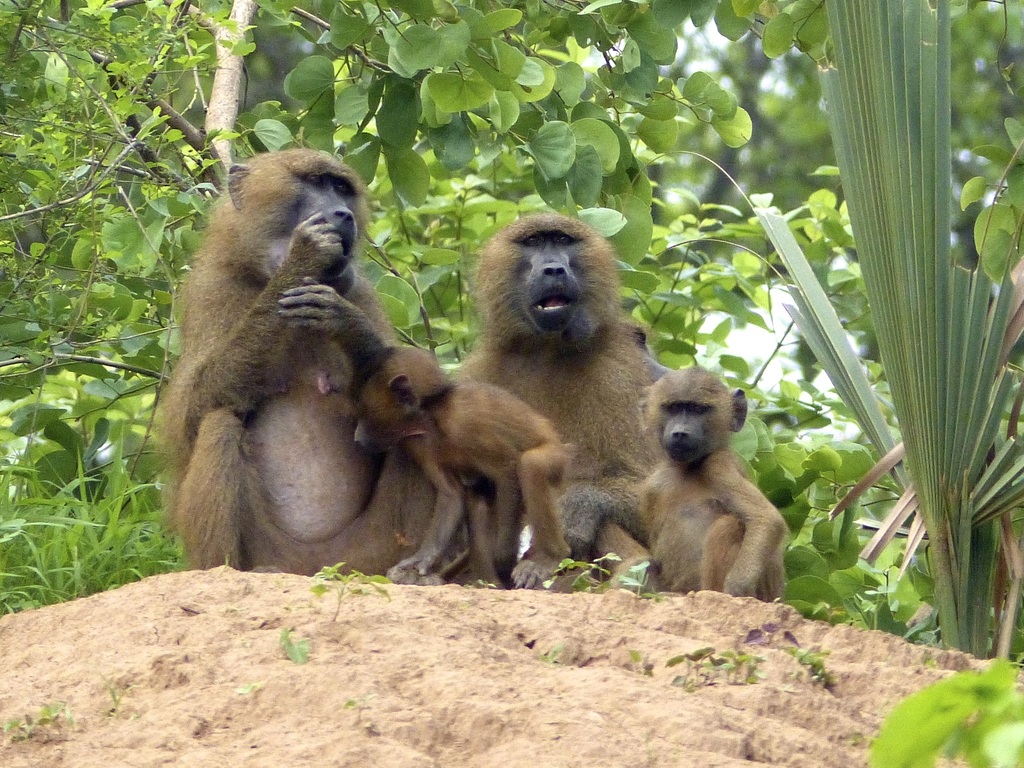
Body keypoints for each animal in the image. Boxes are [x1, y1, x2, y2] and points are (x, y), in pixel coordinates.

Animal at [160, 149, 437, 575]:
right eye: (315, 183)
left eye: (341, 187)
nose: (344, 214)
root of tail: (314, 569)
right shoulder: (212, 290)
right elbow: (191, 414)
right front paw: (301, 259)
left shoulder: (360, 292)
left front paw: (348, 325)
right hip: (273, 551)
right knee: (219, 423)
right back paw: (230, 571)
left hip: (371, 549)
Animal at [343, 342, 571, 589]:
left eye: (365, 413)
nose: (357, 437)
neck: (433, 416)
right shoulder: (415, 442)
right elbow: (451, 494)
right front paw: (423, 558)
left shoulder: (466, 423)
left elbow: (508, 470)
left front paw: (504, 557)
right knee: (476, 497)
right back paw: (488, 582)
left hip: (557, 458)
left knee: (531, 465)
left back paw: (548, 557)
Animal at [459, 214, 658, 573]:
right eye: (534, 242)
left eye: (563, 240)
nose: (554, 269)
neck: (546, 350)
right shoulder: (476, 379)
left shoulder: (620, 372)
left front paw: (574, 508)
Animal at [639, 366, 786, 600]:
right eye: (673, 408)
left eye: (698, 409)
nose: (680, 433)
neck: (687, 469)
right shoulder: (651, 488)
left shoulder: (718, 466)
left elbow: (766, 519)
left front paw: (736, 589)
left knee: (729, 527)